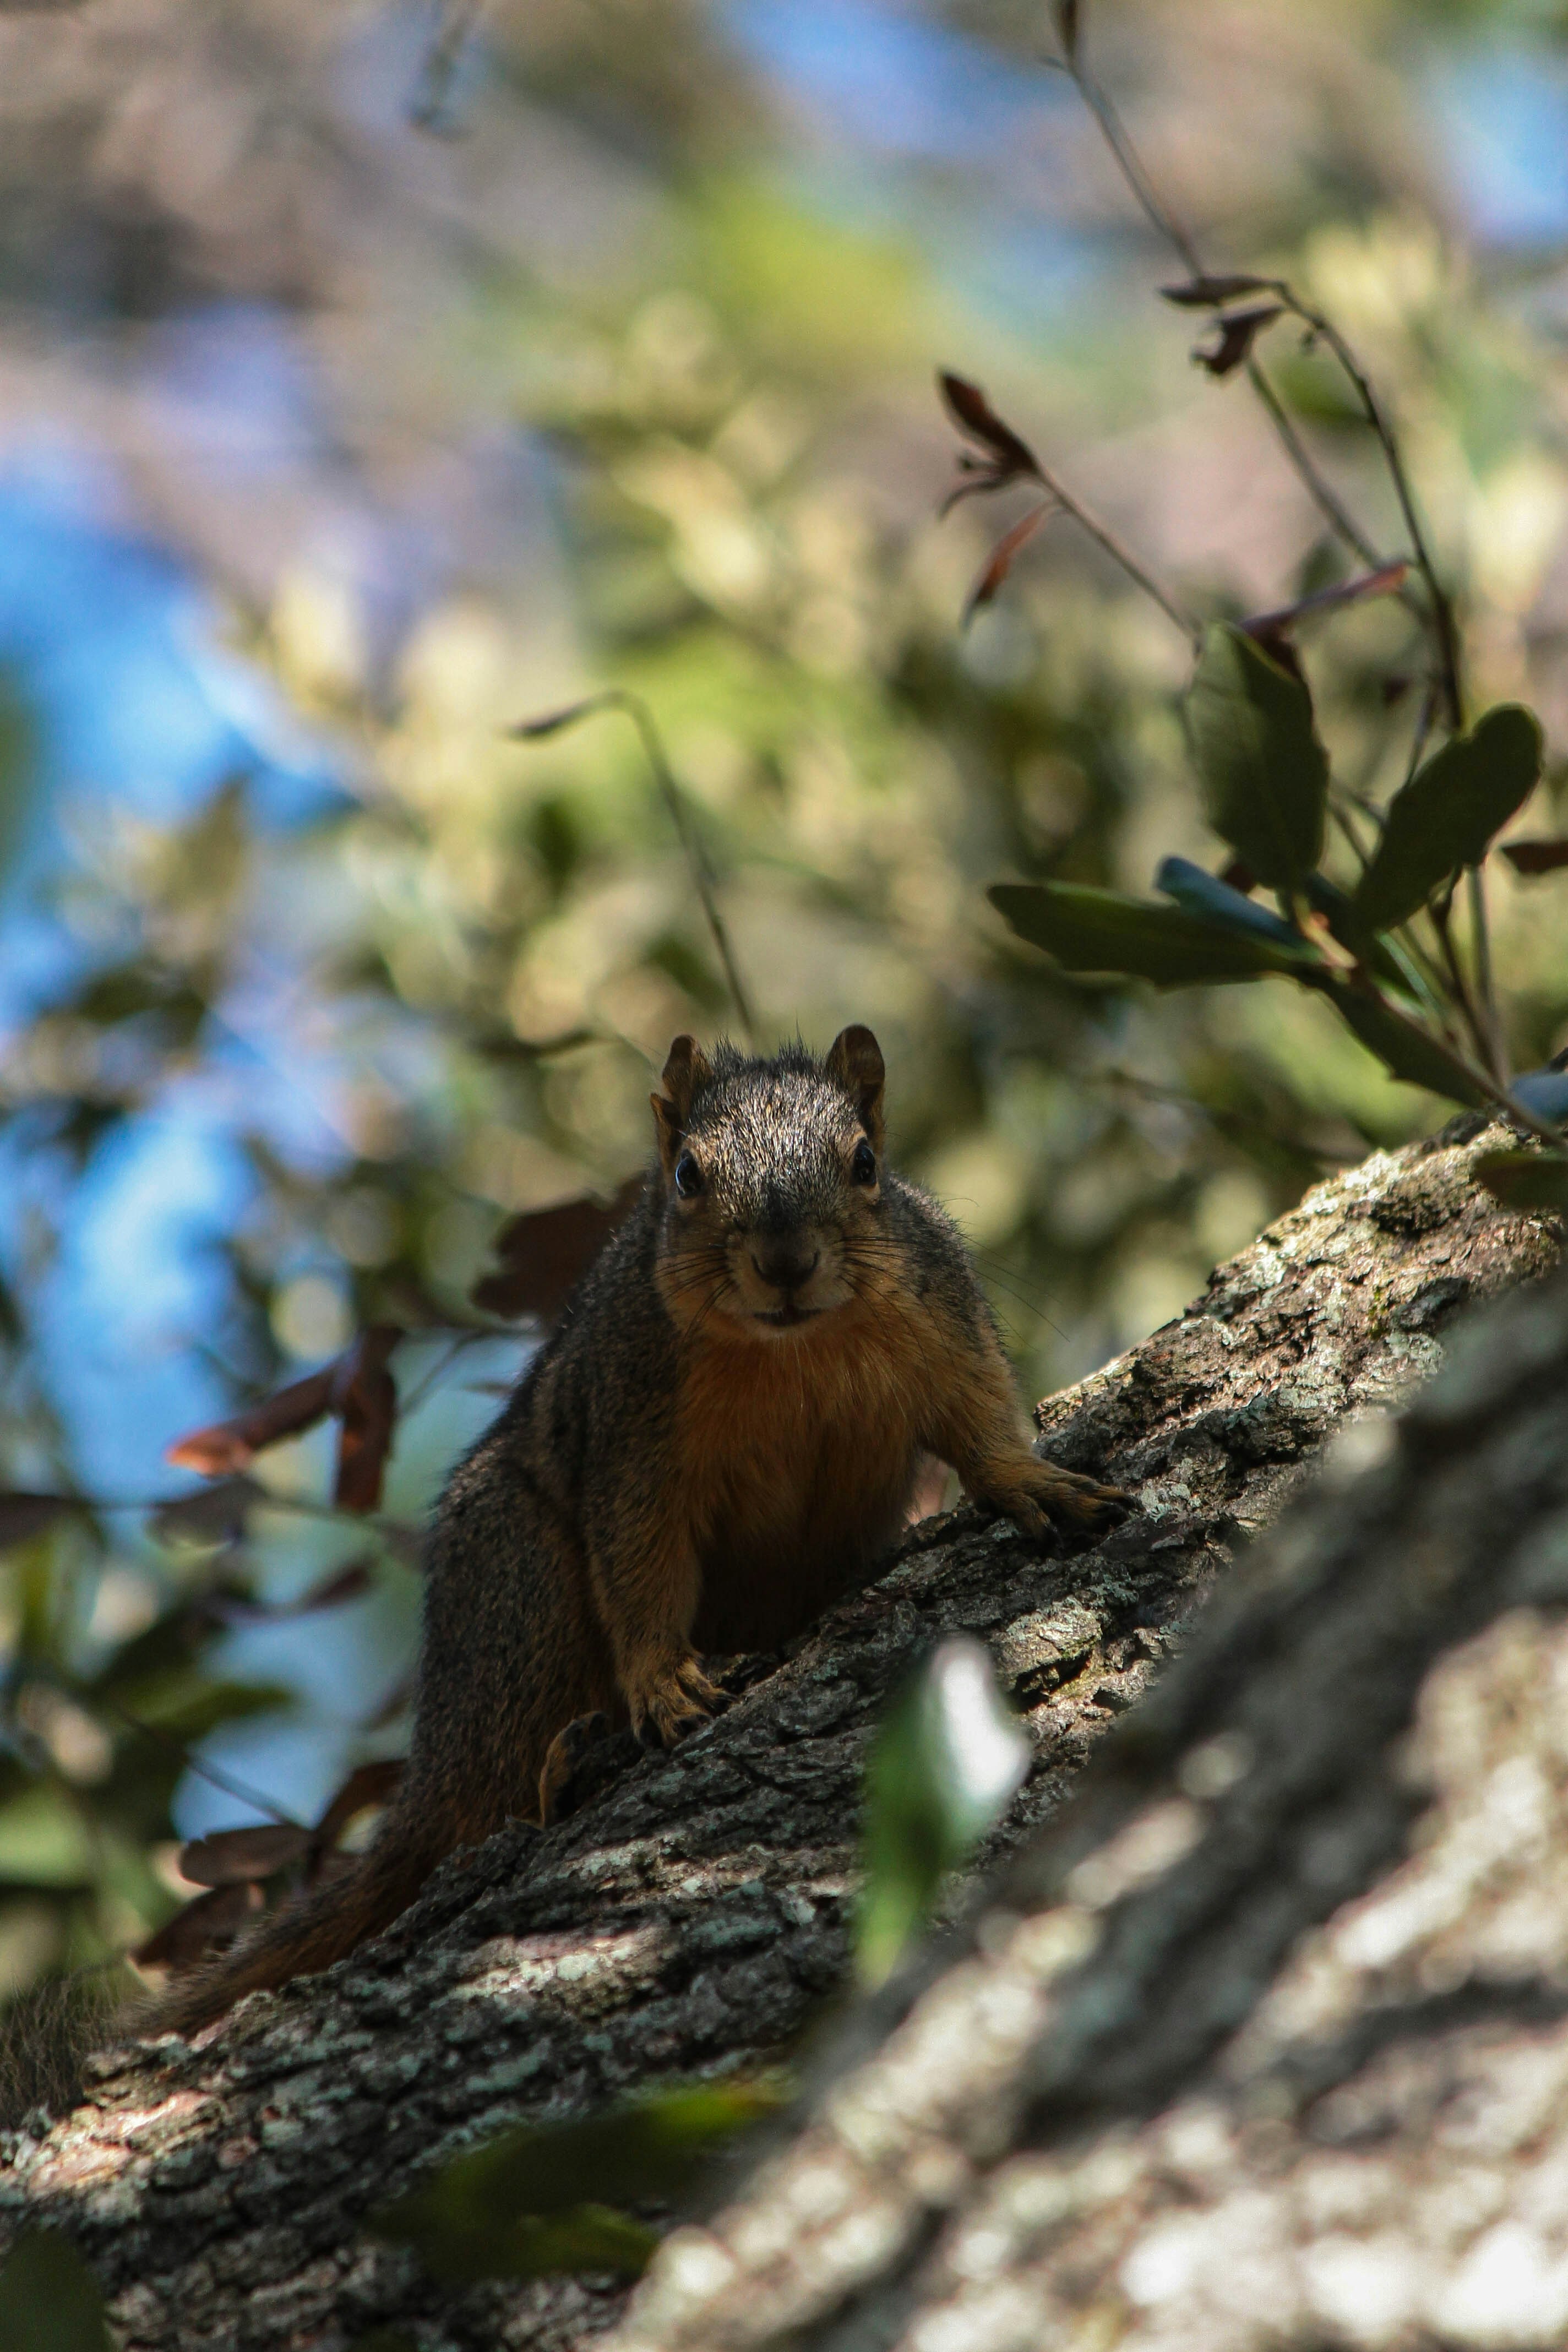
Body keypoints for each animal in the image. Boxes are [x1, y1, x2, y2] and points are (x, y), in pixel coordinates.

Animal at [143, 1026, 1129, 2040]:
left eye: (864, 1162)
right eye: (688, 1174)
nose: (784, 1260)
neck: (793, 1350)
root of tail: (433, 1758)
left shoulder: (939, 1313)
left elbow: (981, 1418)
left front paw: (1034, 1482)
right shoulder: (631, 1427)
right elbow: (640, 1560)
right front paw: (662, 1679)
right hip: (516, 1592)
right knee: (492, 1791)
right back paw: (557, 1765)